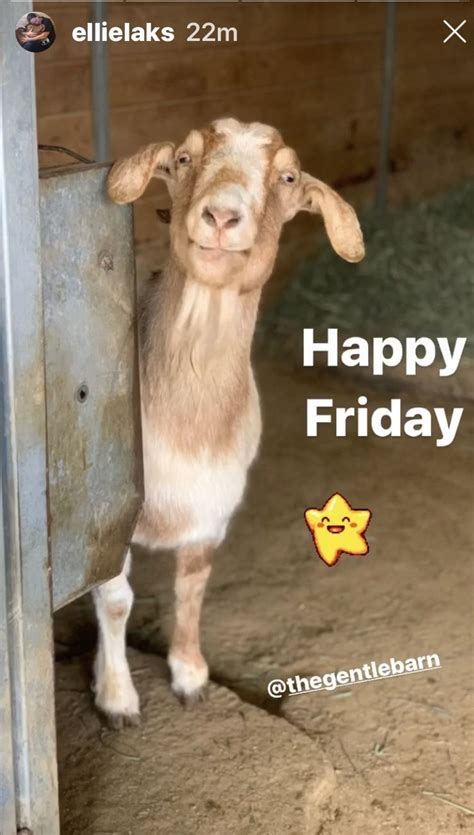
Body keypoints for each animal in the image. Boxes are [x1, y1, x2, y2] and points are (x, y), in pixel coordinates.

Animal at [93, 118, 364, 727]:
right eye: (185, 158)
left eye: (288, 177)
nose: (220, 216)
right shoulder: (103, 521)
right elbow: (116, 601)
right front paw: (117, 697)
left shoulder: (211, 512)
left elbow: (191, 589)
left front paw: (190, 674)